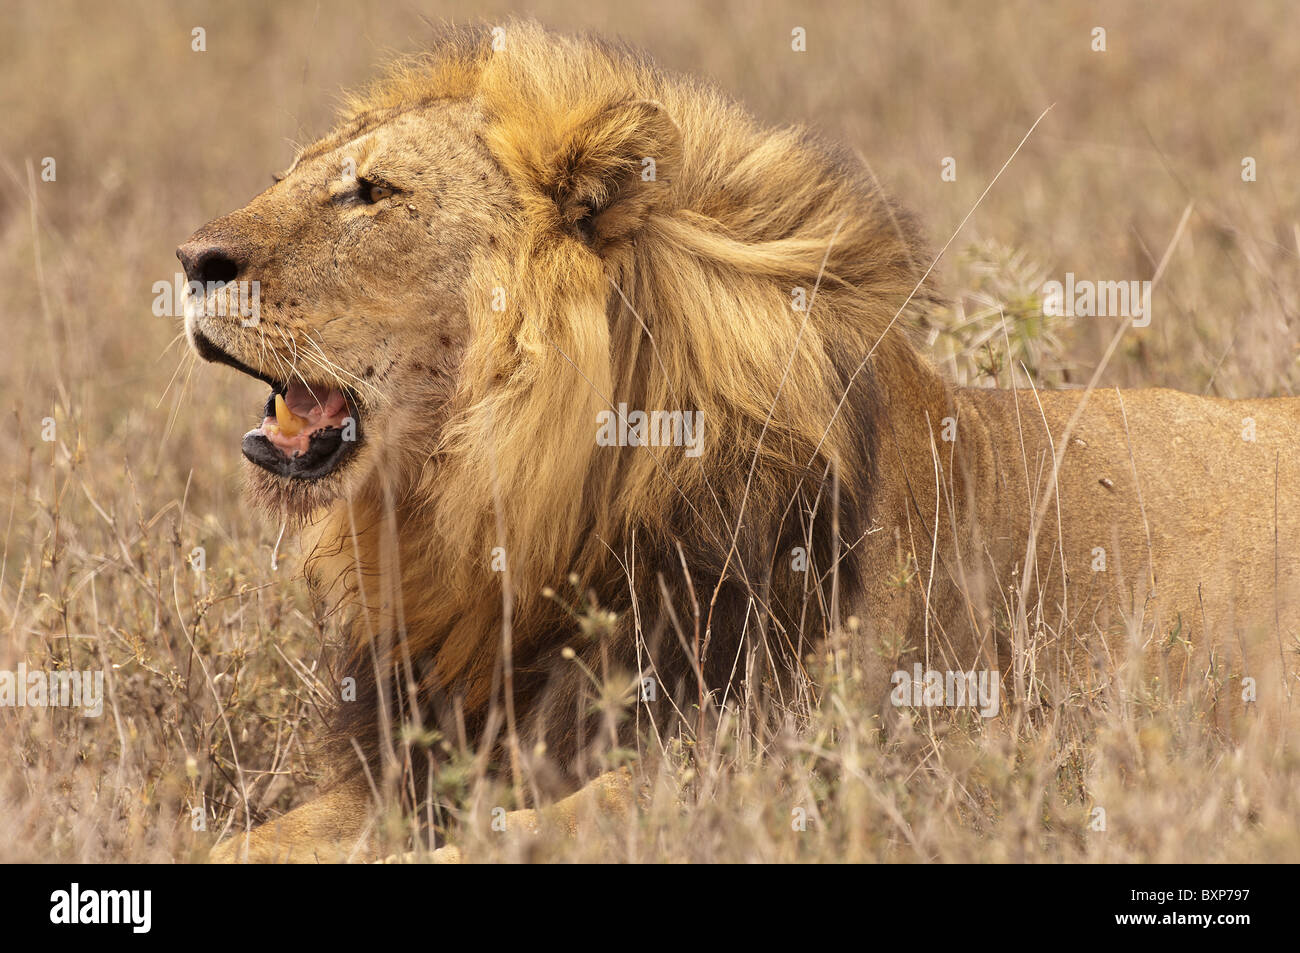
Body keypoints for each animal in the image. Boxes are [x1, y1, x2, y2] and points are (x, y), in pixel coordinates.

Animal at [179, 21, 1300, 862]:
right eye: (291, 175)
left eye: (372, 194)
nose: (191, 260)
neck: (505, 512)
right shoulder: (421, 745)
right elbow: (247, 838)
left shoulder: (755, 761)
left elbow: (521, 833)